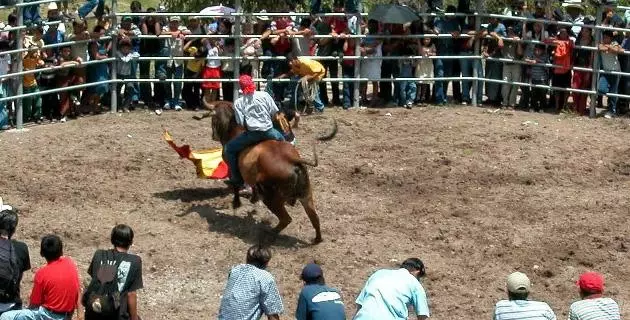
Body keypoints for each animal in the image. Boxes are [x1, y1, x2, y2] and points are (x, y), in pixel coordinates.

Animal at [207, 100, 338, 242]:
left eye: (213, 118)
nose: (213, 136)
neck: (235, 130)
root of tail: (292, 159)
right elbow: (252, 186)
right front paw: (253, 199)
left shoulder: (231, 167)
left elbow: (236, 184)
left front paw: (236, 203)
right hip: (306, 195)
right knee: (314, 218)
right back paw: (316, 239)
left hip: (272, 198)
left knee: (286, 219)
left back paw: (270, 232)